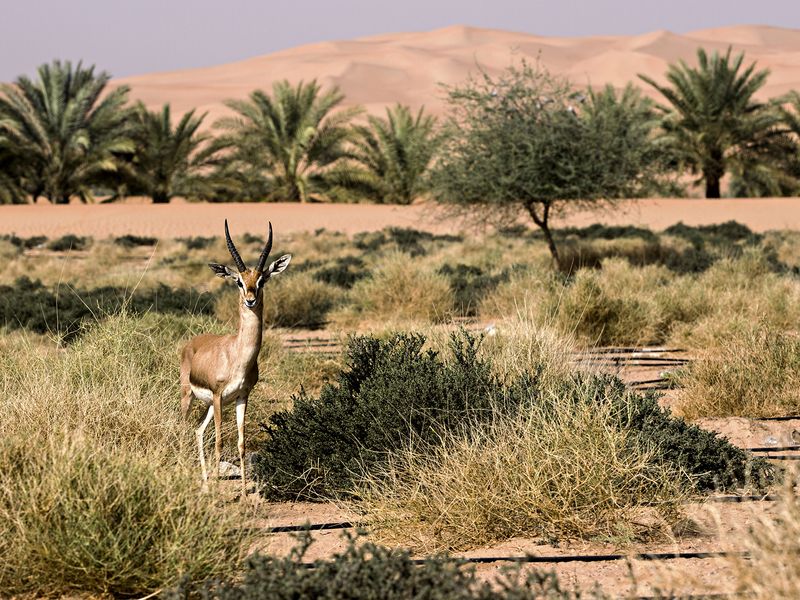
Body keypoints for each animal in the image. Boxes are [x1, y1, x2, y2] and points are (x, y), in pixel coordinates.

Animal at [180, 220, 291, 496]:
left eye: (262, 280)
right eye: (239, 281)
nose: (250, 300)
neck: (237, 356)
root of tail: (192, 343)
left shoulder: (242, 396)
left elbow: (241, 443)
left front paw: (242, 494)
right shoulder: (220, 395)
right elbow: (219, 442)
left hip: (209, 405)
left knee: (198, 431)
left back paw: (205, 484)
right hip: (190, 396)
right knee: (183, 430)